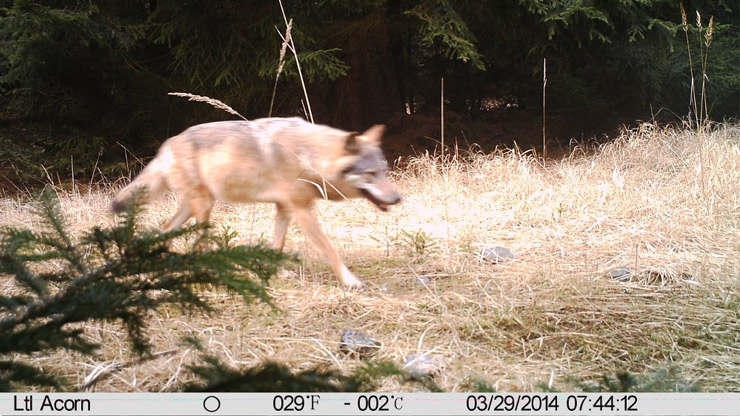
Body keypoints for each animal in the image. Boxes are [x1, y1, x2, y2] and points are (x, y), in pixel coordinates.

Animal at [112, 117, 402, 289]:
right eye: (370, 174)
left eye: (384, 171)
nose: (398, 198)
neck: (310, 156)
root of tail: (167, 144)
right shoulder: (301, 209)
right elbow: (330, 249)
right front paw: (350, 281)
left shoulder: (285, 209)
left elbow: (277, 246)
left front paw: (276, 273)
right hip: (203, 209)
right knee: (194, 243)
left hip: (194, 207)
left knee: (164, 229)